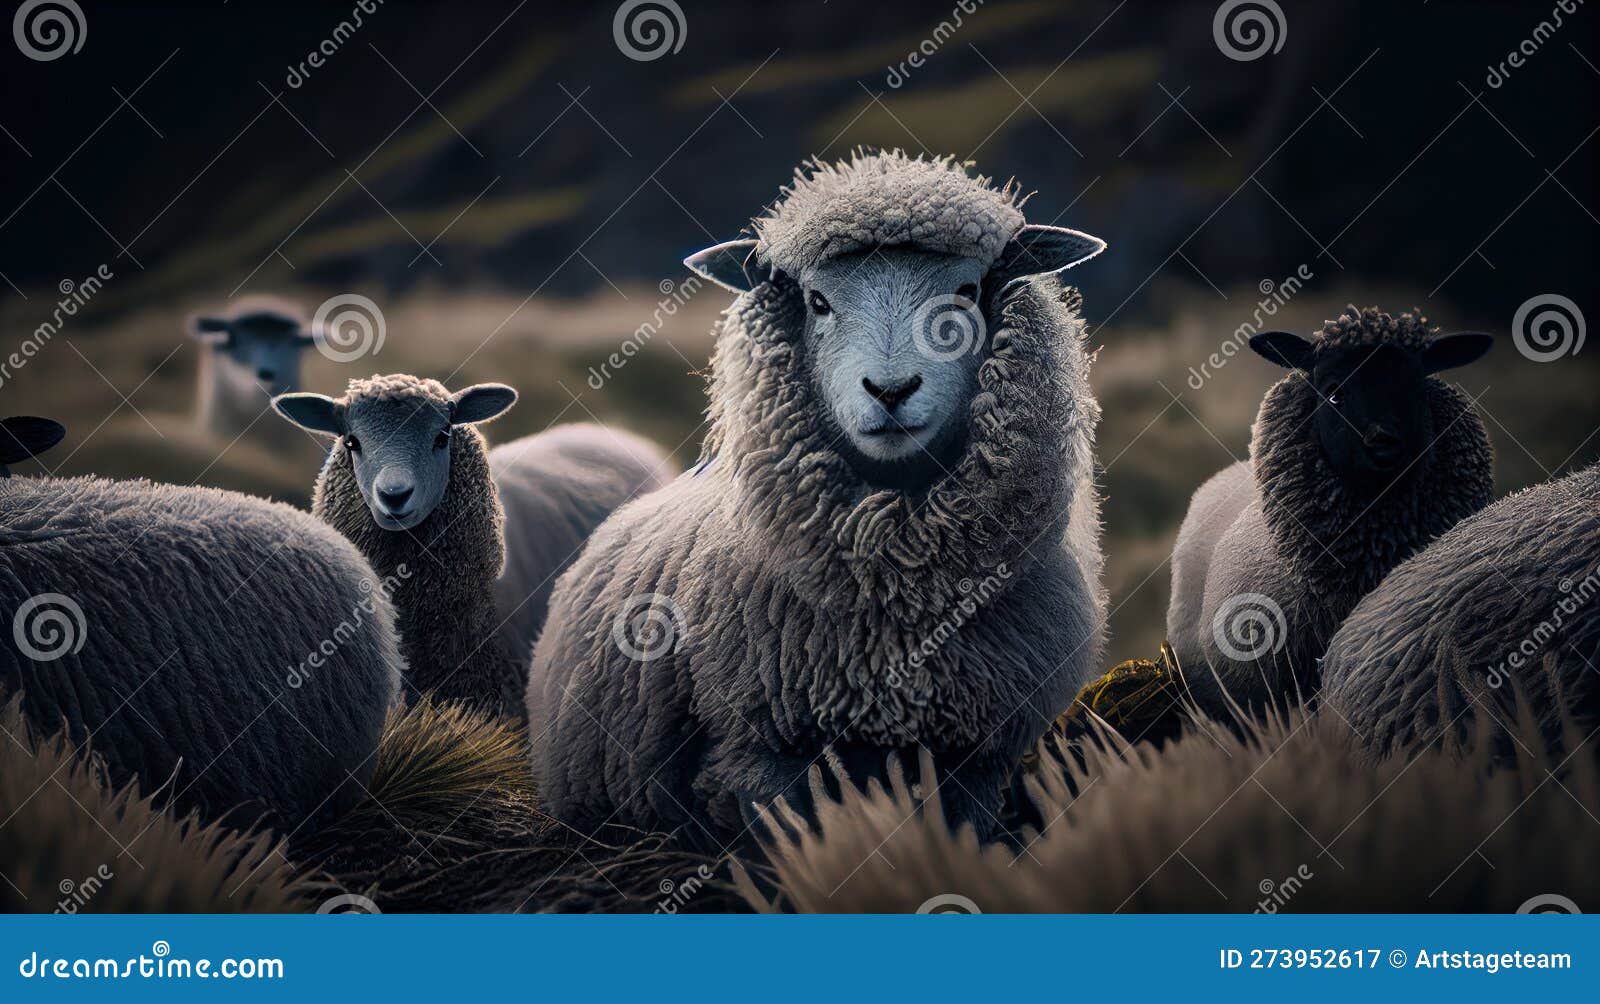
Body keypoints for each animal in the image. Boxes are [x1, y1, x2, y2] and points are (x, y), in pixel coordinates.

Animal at [528, 149, 1109, 844]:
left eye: (967, 292)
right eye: (818, 300)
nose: (890, 390)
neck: (895, 589)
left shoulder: (979, 751)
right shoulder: (760, 751)